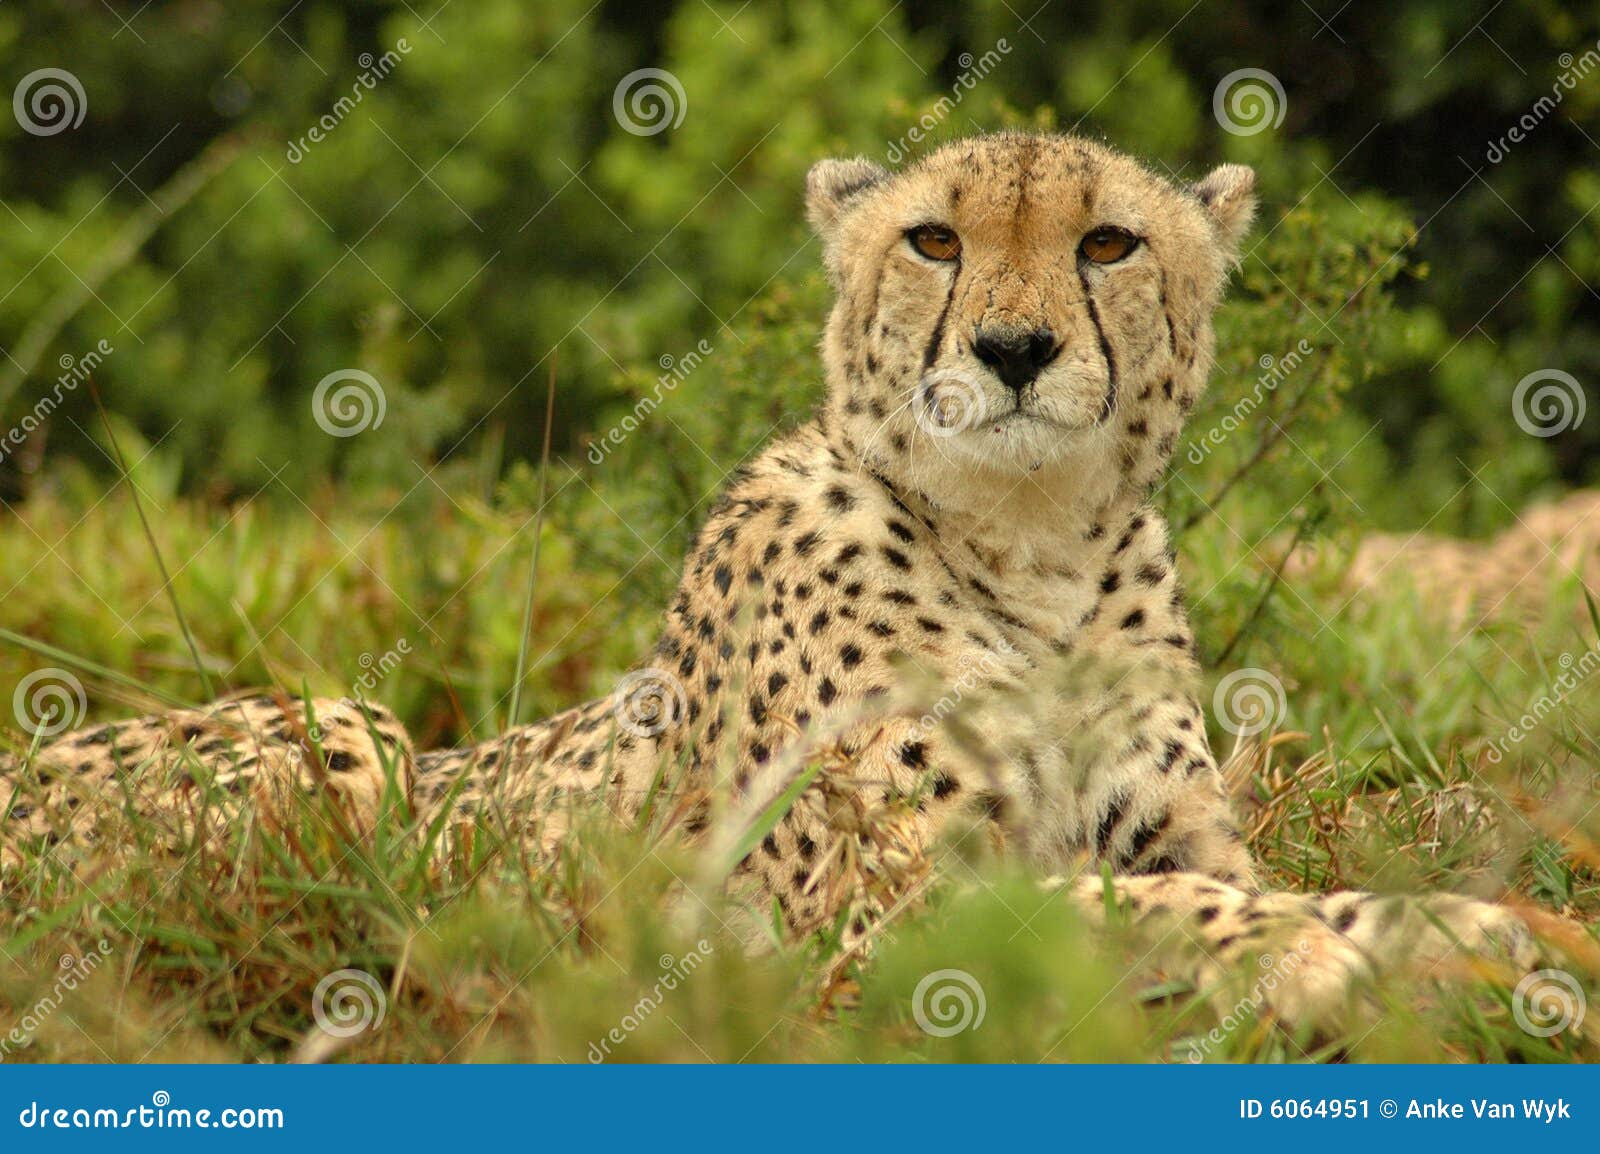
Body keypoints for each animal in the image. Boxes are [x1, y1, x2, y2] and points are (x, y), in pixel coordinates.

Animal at [2, 132, 1564, 1029]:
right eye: (935, 238)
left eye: (1107, 241)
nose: (1011, 350)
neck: (1034, 555)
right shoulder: (882, 923)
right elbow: (1136, 911)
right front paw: (1369, 951)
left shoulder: (1175, 829)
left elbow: (1233, 884)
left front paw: (1487, 929)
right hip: (353, 735)